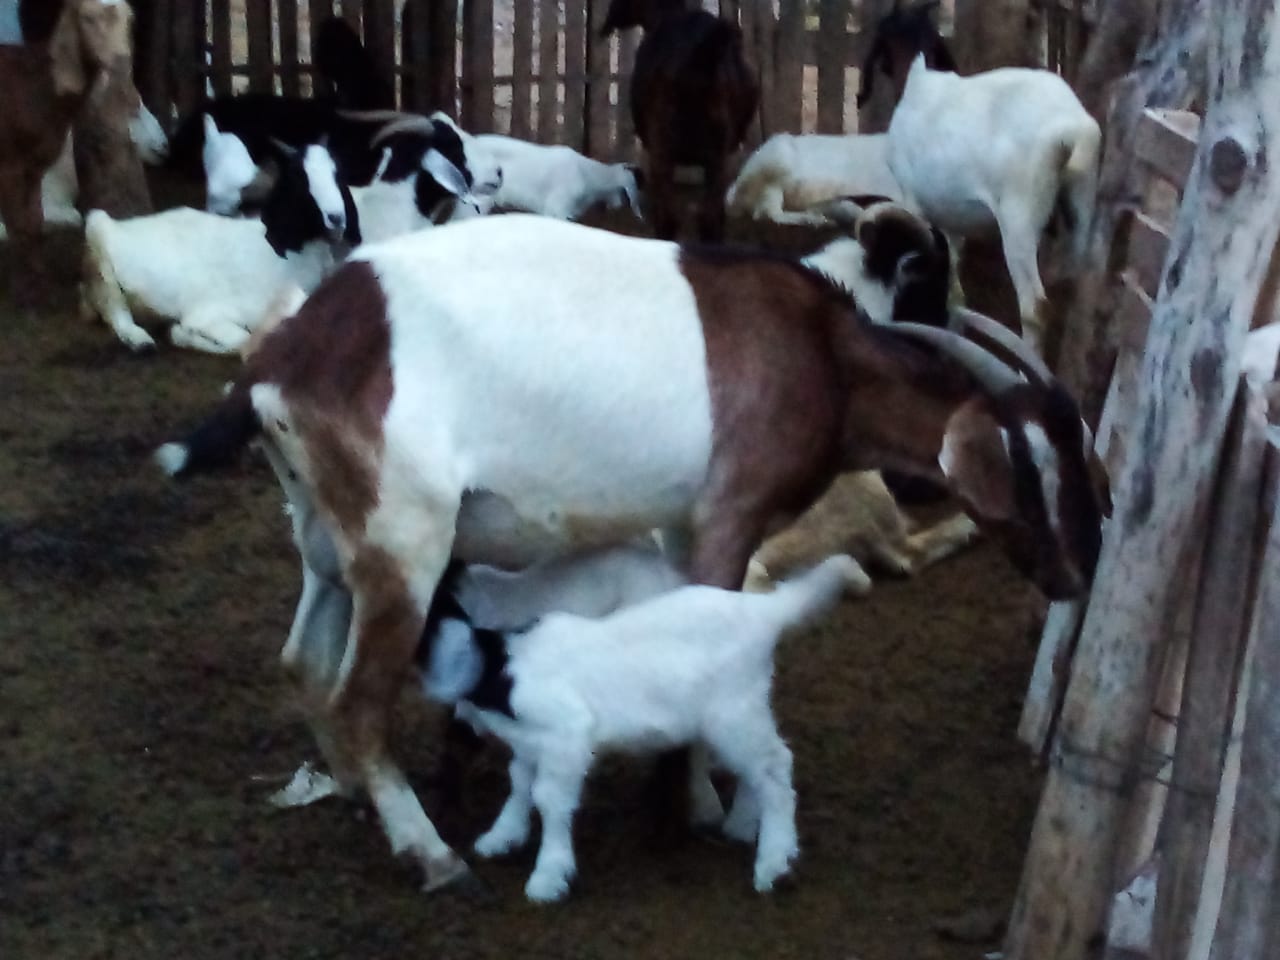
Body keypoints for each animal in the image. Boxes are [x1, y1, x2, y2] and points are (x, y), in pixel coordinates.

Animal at [0, 0, 135, 308]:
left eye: (129, 17)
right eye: (87, 18)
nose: (121, 60)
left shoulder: (34, 165)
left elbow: (34, 225)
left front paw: (41, 286)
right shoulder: (8, 163)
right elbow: (18, 226)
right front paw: (23, 294)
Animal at [82, 139, 359, 353]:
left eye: (338, 174)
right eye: (299, 176)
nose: (336, 218)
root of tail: (118, 224)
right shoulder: (211, 313)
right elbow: (243, 340)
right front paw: (184, 333)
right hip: (98, 245)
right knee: (114, 308)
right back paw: (139, 340)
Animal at [420, 554, 861, 901]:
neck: (503, 660)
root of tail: (763, 611)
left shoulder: (567, 734)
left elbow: (549, 799)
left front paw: (548, 876)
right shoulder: (531, 743)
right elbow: (520, 783)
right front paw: (502, 836)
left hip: (733, 711)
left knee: (775, 766)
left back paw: (774, 860)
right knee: (758, 770)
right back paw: (744, 827)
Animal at [886, 54, 1102, 355]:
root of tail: (1073, 129)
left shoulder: (912, 200)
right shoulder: (952, 221)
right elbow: (954, 289)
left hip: (1019, 216)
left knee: (1034, 307)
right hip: (1082, 203)